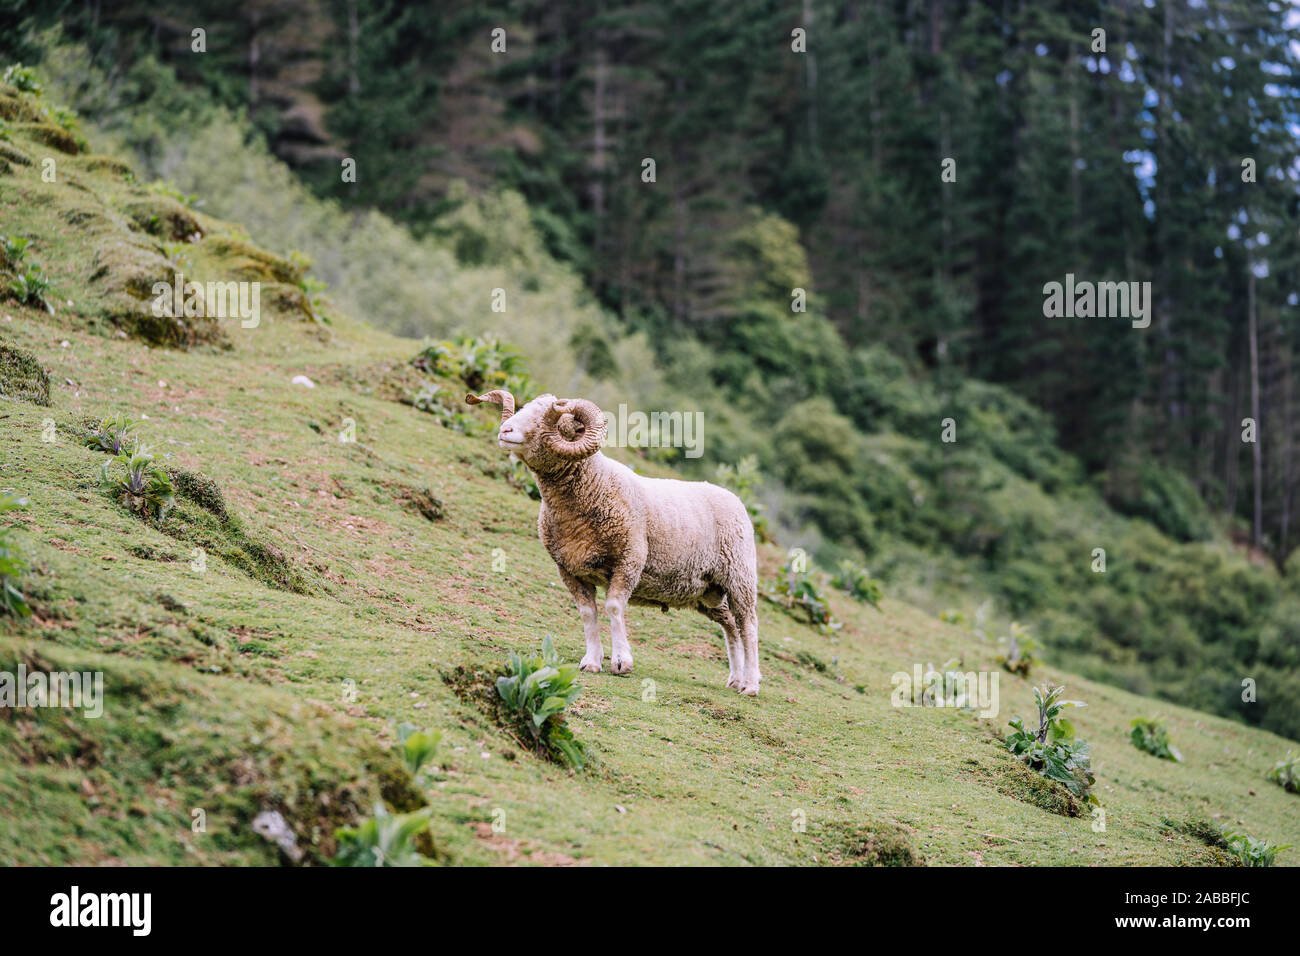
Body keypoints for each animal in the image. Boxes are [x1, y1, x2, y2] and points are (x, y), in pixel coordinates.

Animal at [466, 389, 763, 695]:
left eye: (552, 419)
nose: (505, 430)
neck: (595, 485)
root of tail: (735, 500)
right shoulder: (569, 569)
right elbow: (588, 613)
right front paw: (591, 662)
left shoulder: (629, 560)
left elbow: (613, 607)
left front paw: (621, 662)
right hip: (707, 591)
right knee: (730, 626)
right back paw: (735, 679)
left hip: (739, 577)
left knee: (748, 626)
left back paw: (751, 685)